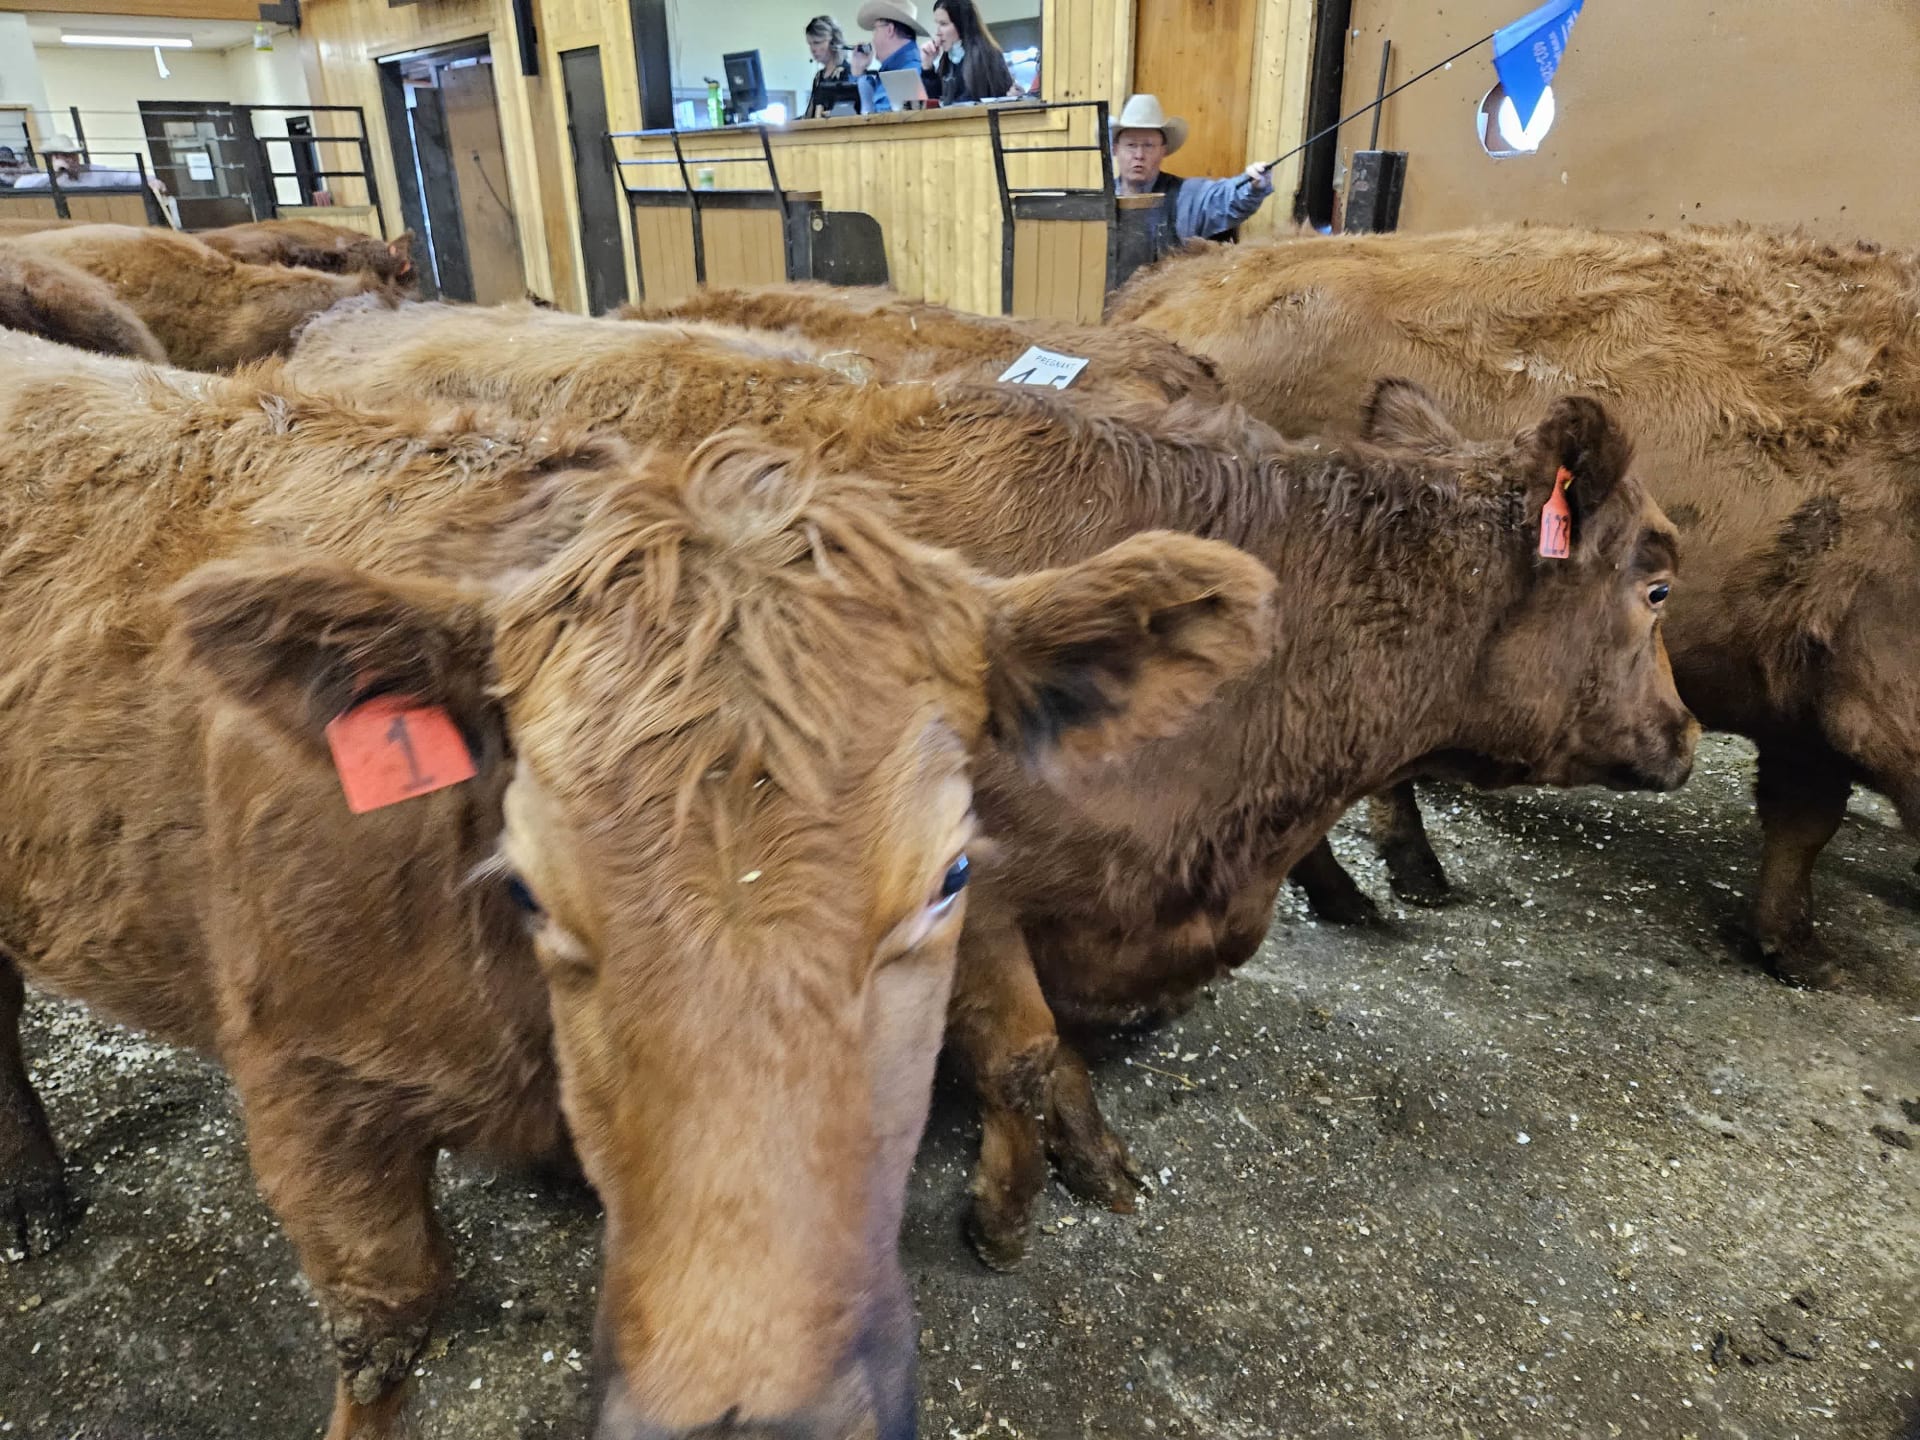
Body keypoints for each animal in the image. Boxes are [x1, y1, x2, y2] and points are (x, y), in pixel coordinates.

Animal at [1113, 222, 1920, 985]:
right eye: (1657, 590)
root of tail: (1183, 278)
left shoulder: (1804, 706)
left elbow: (1800, 815)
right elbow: (1809, 817)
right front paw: (1802, 950)